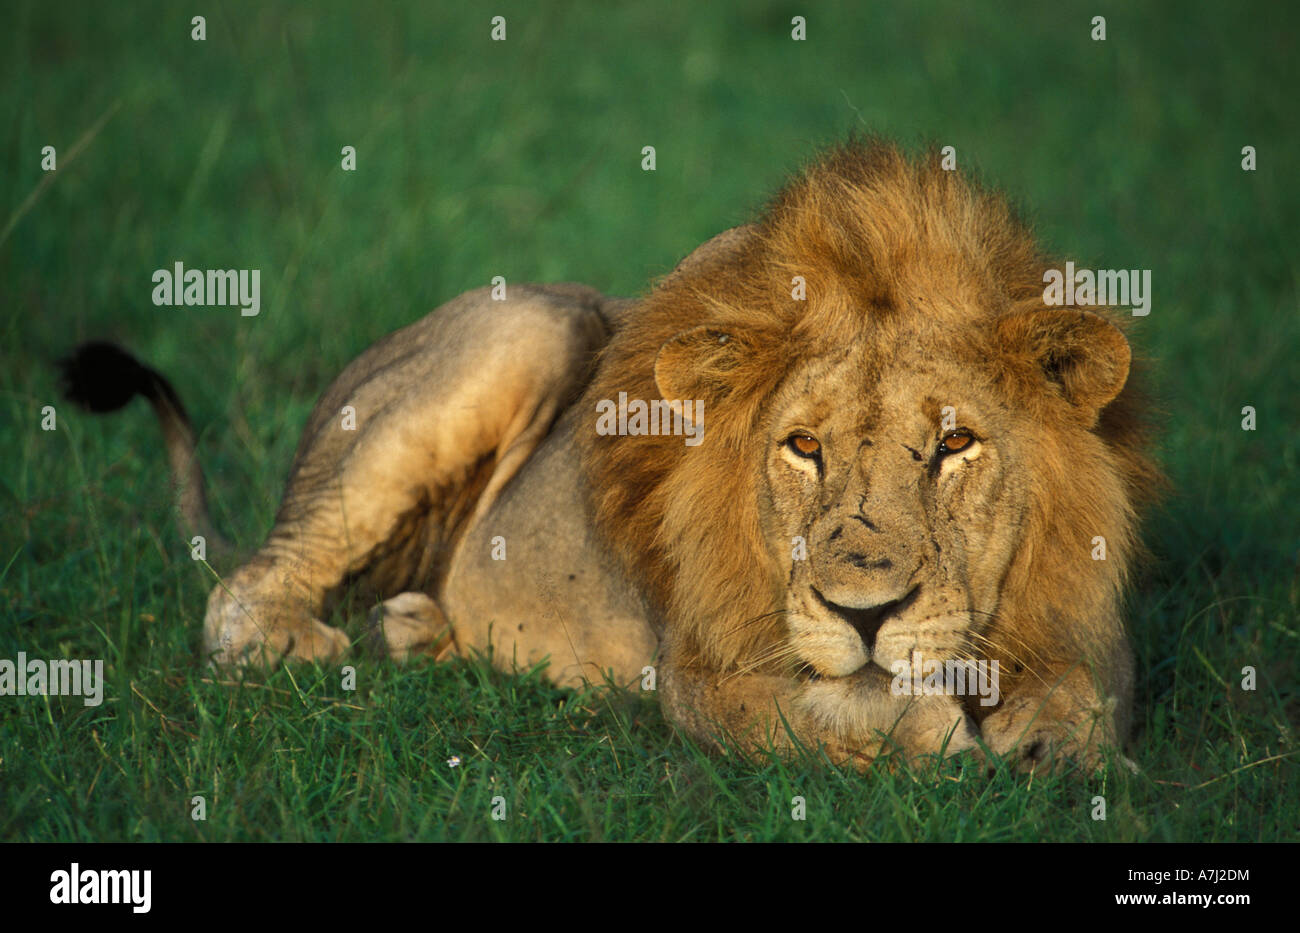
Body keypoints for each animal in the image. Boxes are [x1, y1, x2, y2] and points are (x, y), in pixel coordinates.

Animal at [61, 140, 1157, 772]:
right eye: (802, 448)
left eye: (955, 444)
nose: (866, 612)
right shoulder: (704, 671)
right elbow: (826, 714)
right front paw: (943, 742)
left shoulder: (1090, 619)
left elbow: (1090, 699)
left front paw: (1046, 743)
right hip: (528, 323)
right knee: (239, 596)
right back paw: (321, 645)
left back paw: (419, 633)